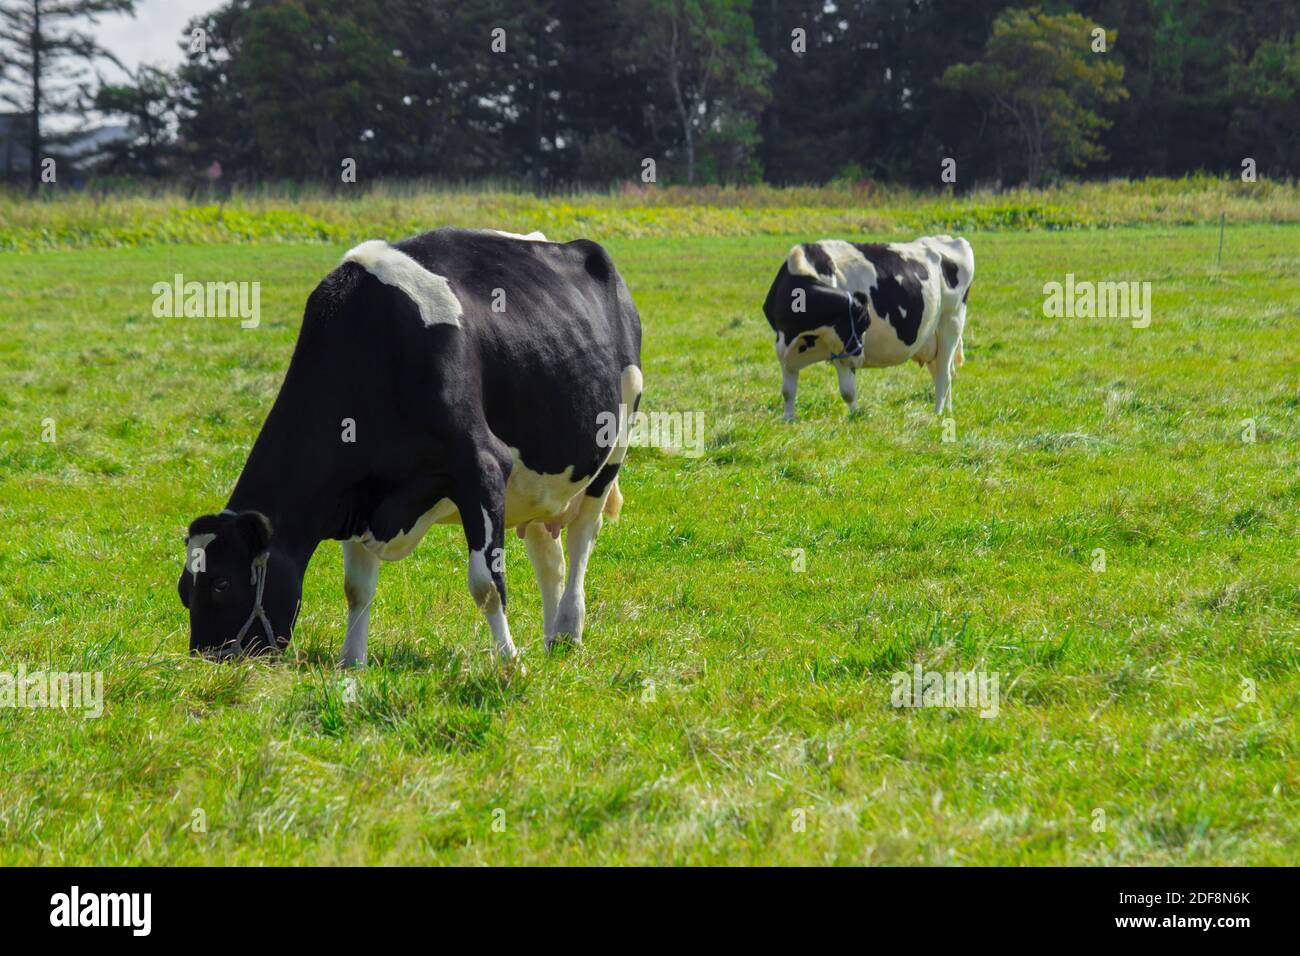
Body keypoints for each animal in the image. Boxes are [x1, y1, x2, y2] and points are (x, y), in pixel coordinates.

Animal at [177, 228, 643, 668]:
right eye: (184, 590)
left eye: (221, 583)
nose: (208, 660)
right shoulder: (359, 494)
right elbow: (356, 588)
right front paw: (352, 661)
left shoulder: (482, 466)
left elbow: (487, 583)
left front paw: (510, 663)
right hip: (539, 483)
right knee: (549, 554)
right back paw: (553, 638)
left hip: (612, 450)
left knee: (582, 538)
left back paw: (569, 628)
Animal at [762, 236, 974, 420]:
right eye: (863, 322)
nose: (859, 359)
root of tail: (950, 239)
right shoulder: (784, 348)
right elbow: (788, 391)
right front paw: (788, 419)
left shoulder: (839, 350)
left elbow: (847, 392)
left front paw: (856, 416)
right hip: (931, 340)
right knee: (941, 372)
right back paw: (947, 411)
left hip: (951, 322)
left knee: (944, 374)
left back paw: (937, 414)